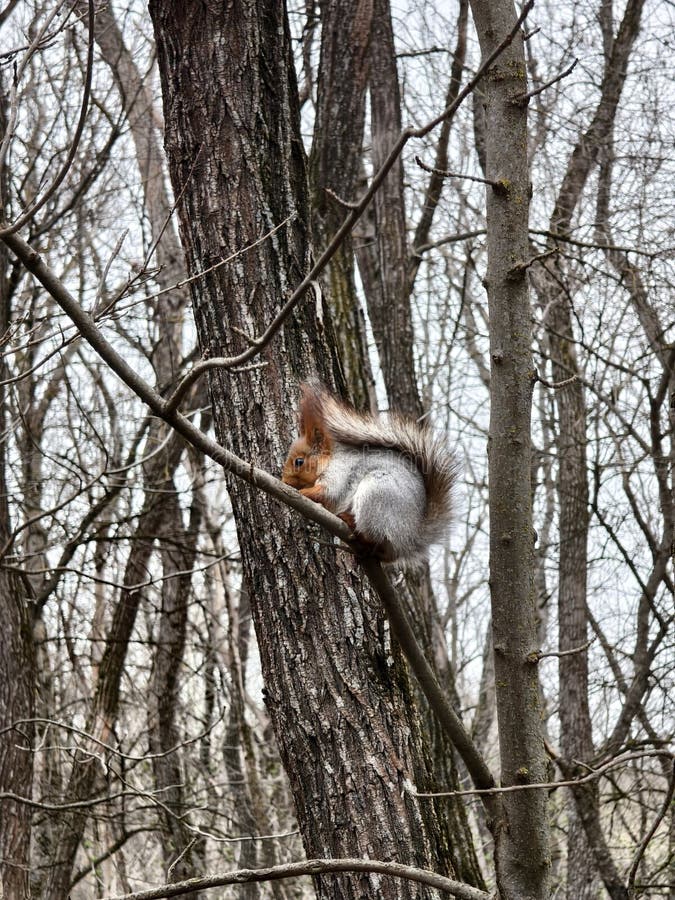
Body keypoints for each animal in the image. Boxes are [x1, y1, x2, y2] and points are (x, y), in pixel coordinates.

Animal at [281, 380, 455, 564]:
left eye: (299, 462)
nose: (284, 481)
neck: (330, 459)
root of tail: (409, 539)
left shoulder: (339, 472)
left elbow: (328, 492)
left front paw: (303, 493)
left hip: (376, 494)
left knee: (376, 536)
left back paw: (353, 526)